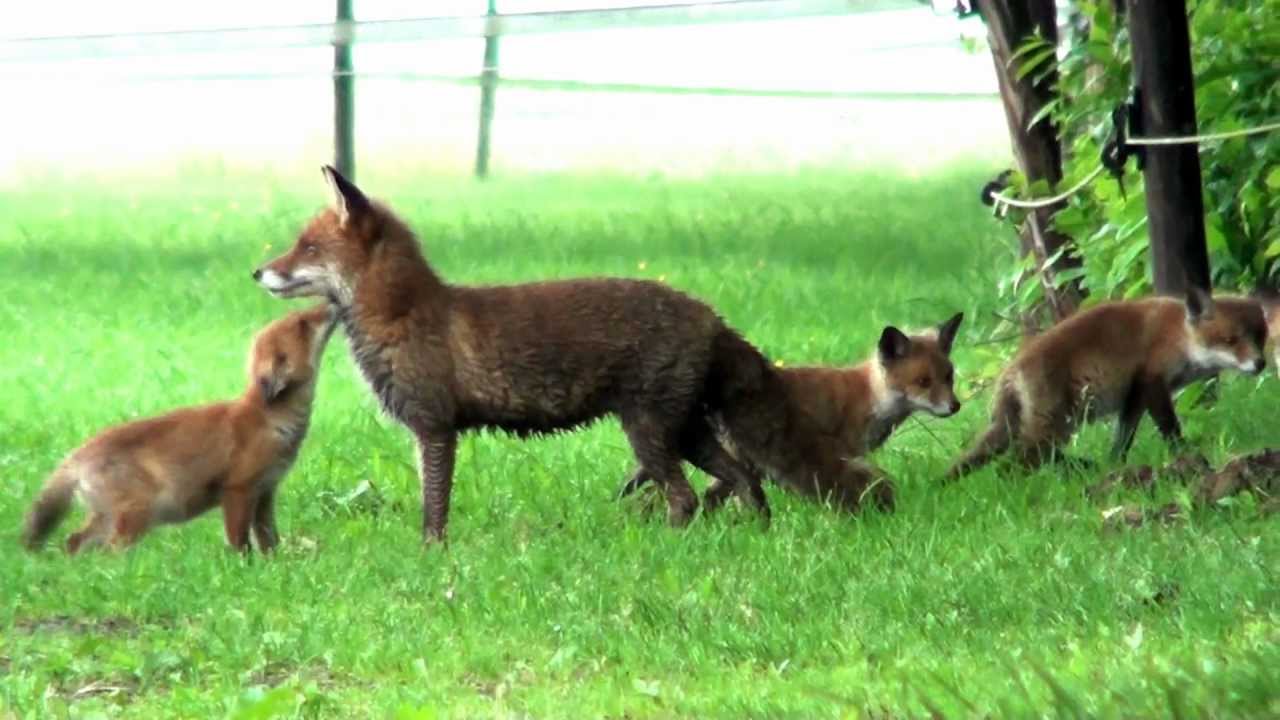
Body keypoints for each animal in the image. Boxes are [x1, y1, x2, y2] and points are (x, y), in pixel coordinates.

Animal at [20, 305, 337, 553]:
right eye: (303, 324)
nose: (332, 302)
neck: (269, 420)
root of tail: (77, 455)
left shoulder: (266, 492)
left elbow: (270, 542)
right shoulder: (238, 490)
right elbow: (240, 544)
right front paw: (244, 568)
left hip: (108, 518)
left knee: (73, 542)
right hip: (137, 515)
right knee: (106, 552)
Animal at [252, 166, 769, 542]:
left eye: (308, 248)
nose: (257, 272)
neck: (405, 317)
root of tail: (710, 314)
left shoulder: (436, 428)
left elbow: (434, 511)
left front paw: (432, 557)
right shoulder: (426, 432)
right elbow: (430, 506)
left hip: (650, 432)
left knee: (687, 498)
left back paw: (669, 545)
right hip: (685, 432)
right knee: (742, 477)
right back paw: (757, 534)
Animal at [946, 288, 1267, 481]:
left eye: (1260, 338)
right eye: (1231, 340)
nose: (1261, 364)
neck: (1178, 335)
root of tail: (1011, 368)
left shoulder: (1134, 395)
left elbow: (1122, 438)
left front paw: (1116, 465)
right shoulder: (1152, 381)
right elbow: (1169, 428)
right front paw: (1183, 455)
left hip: (1029, 428)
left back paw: (1085, 467)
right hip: (1054, 425)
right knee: (1015, 464)